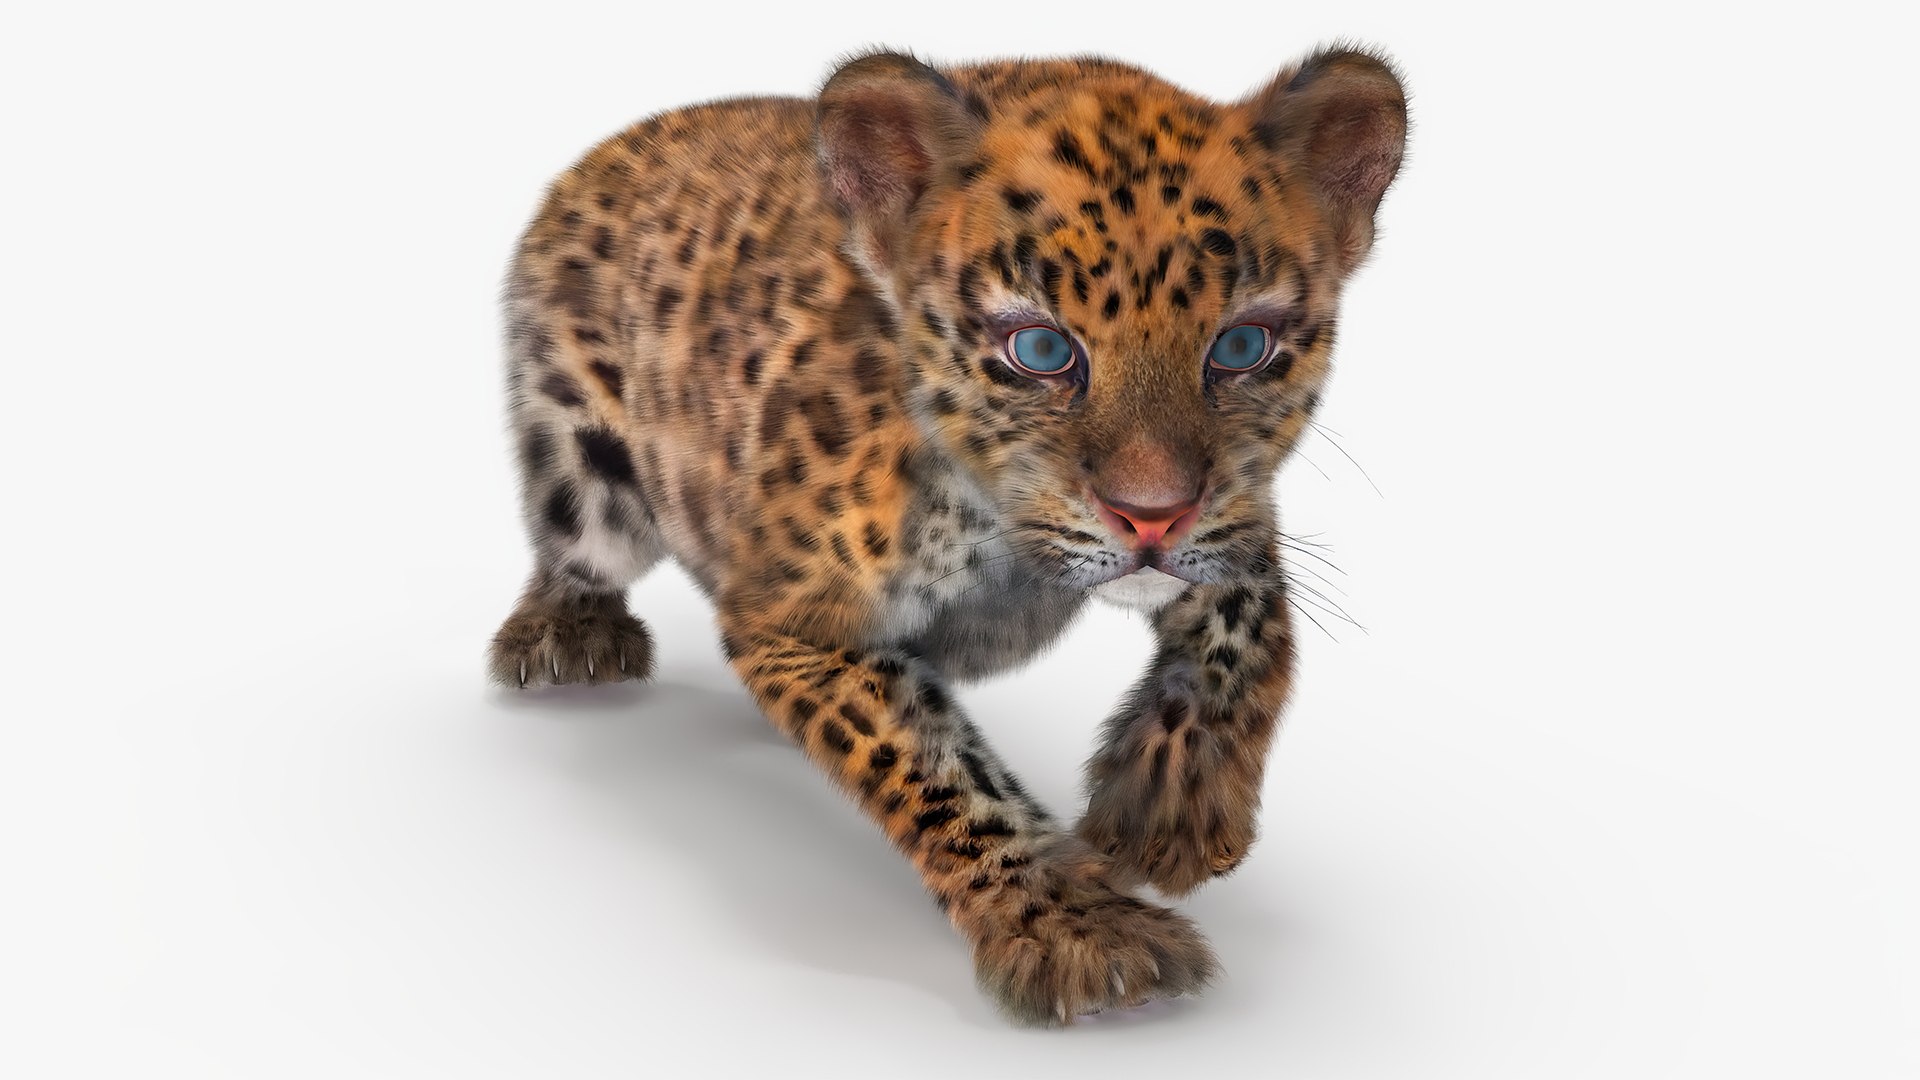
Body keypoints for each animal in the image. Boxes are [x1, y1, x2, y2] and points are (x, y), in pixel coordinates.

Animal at [488, 47, 1407, 1026]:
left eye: (1241, 347)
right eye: (1040, 352)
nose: (1153, 516)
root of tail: (628, 139)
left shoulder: (1237, 518)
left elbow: (1252, 627)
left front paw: (1169, 816)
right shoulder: (793, 618)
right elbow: (939, 772)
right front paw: (1079, 930)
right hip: (587, 470)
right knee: (575, 545)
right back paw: (567, 638)